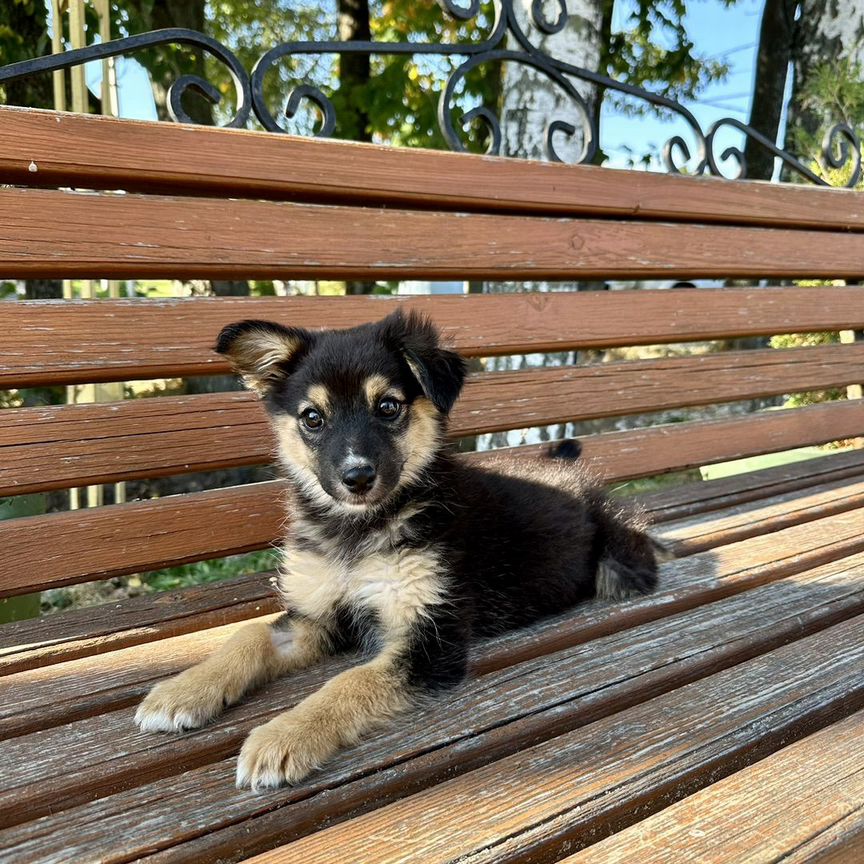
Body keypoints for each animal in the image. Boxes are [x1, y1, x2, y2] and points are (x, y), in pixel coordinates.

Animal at [133, 308, 660, 788]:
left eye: (387, 407)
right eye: (312, 418)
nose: (357, 477)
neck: (358, 531)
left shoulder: (430, 637)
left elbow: (347, 682)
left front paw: (283, 736)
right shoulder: (315, 617)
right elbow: (248, 635)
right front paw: (182, 692)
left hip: (619, 562)